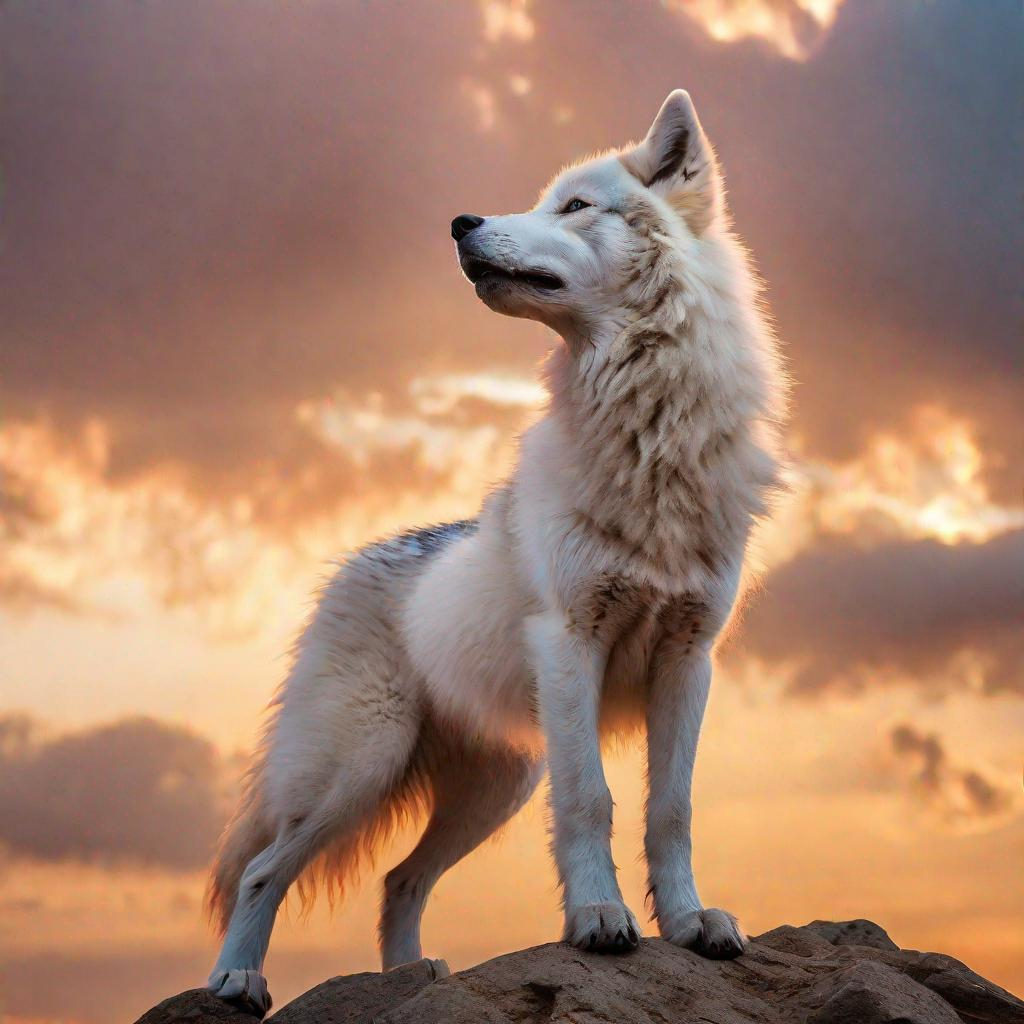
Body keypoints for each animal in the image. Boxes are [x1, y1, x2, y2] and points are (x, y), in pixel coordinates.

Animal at [206, 90, 786, 1014]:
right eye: (546, 199)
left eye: (575, 206)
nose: (460, 222)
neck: (650, 434)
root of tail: (356, 558)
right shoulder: (572, 642)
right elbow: (592, 801)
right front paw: (599, 919)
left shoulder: (690, 660)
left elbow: (671, 810)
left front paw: (692, 924)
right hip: (360, 766)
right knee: (263, 868)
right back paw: (235, 978)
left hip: (492, 791)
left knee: (400, 880)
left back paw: (410, 977)